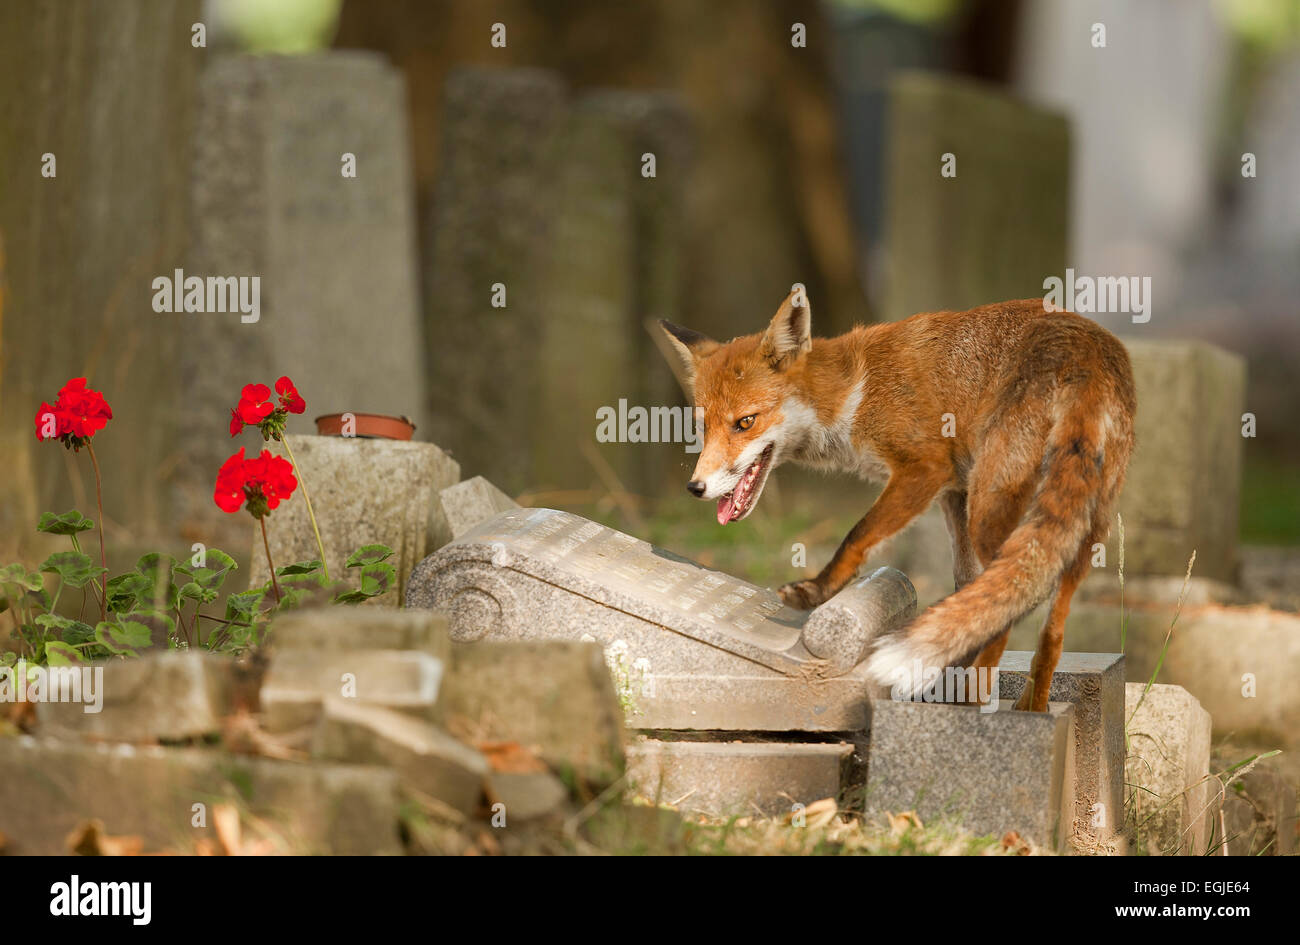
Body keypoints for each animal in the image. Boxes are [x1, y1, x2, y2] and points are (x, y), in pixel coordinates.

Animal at [657, 289, 1136, 711]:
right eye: (702, 426)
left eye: (745, 422)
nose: (695, 488)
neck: (855, 392)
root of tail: (1086, 354)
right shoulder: (954, 490)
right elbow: (966, 588)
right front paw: (949, 666)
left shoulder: (923, 469)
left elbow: (857, 535)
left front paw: (817, 591)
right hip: (1081, 520)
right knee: (1050, 628)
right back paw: (1029, 708)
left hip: (992, 505)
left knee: (1017, 602)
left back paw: (981, 703)